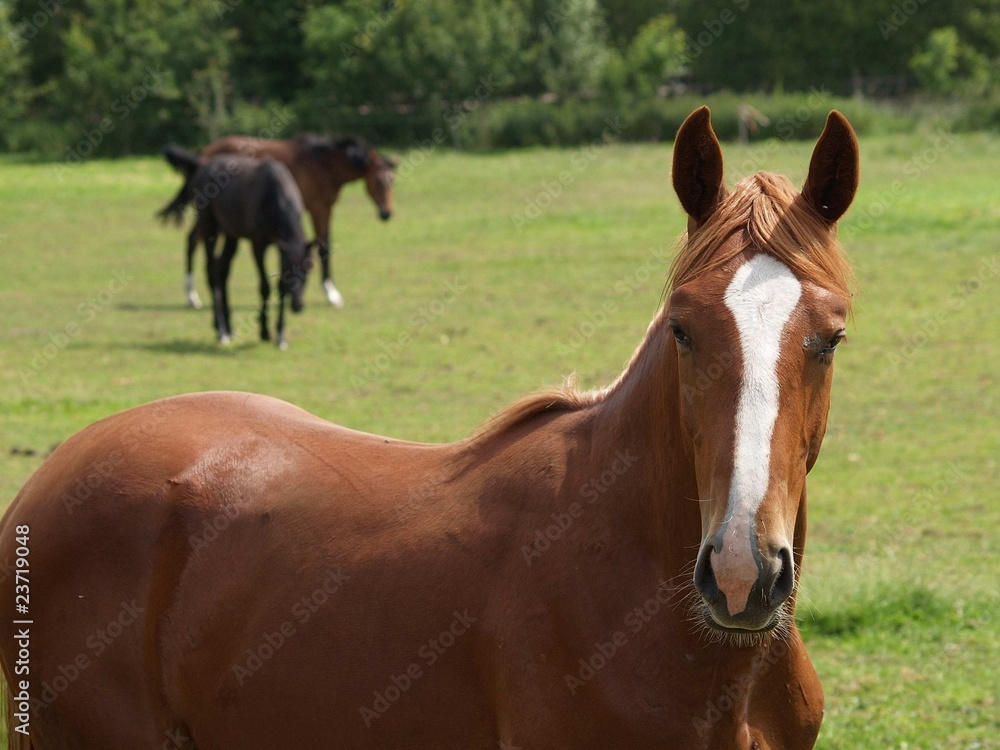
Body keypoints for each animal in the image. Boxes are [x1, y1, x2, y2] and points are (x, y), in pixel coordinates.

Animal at [159, 150, 314, 349]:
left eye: (309, 269)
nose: (298, 305)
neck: (273, 194)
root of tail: (202, 165)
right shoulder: (258, 245)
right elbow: (264, 286)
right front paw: (264, 331)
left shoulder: (281, 249)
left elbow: (280, 286)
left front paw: (280, 336)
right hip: (209, 227)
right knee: (212, 273)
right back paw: (221, 331)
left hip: (230, 235)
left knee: (222, 271)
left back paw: (228, 327)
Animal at [164, 133, 395, 309]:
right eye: (379, 181)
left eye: (392, 181)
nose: (387, 213)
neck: (324, 164)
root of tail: (202, 156)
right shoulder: (319, 208)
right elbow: (323, 246)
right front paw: (332, 294)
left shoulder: (324, 209)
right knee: (193, 241)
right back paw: (192, 296)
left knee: (193, 240)